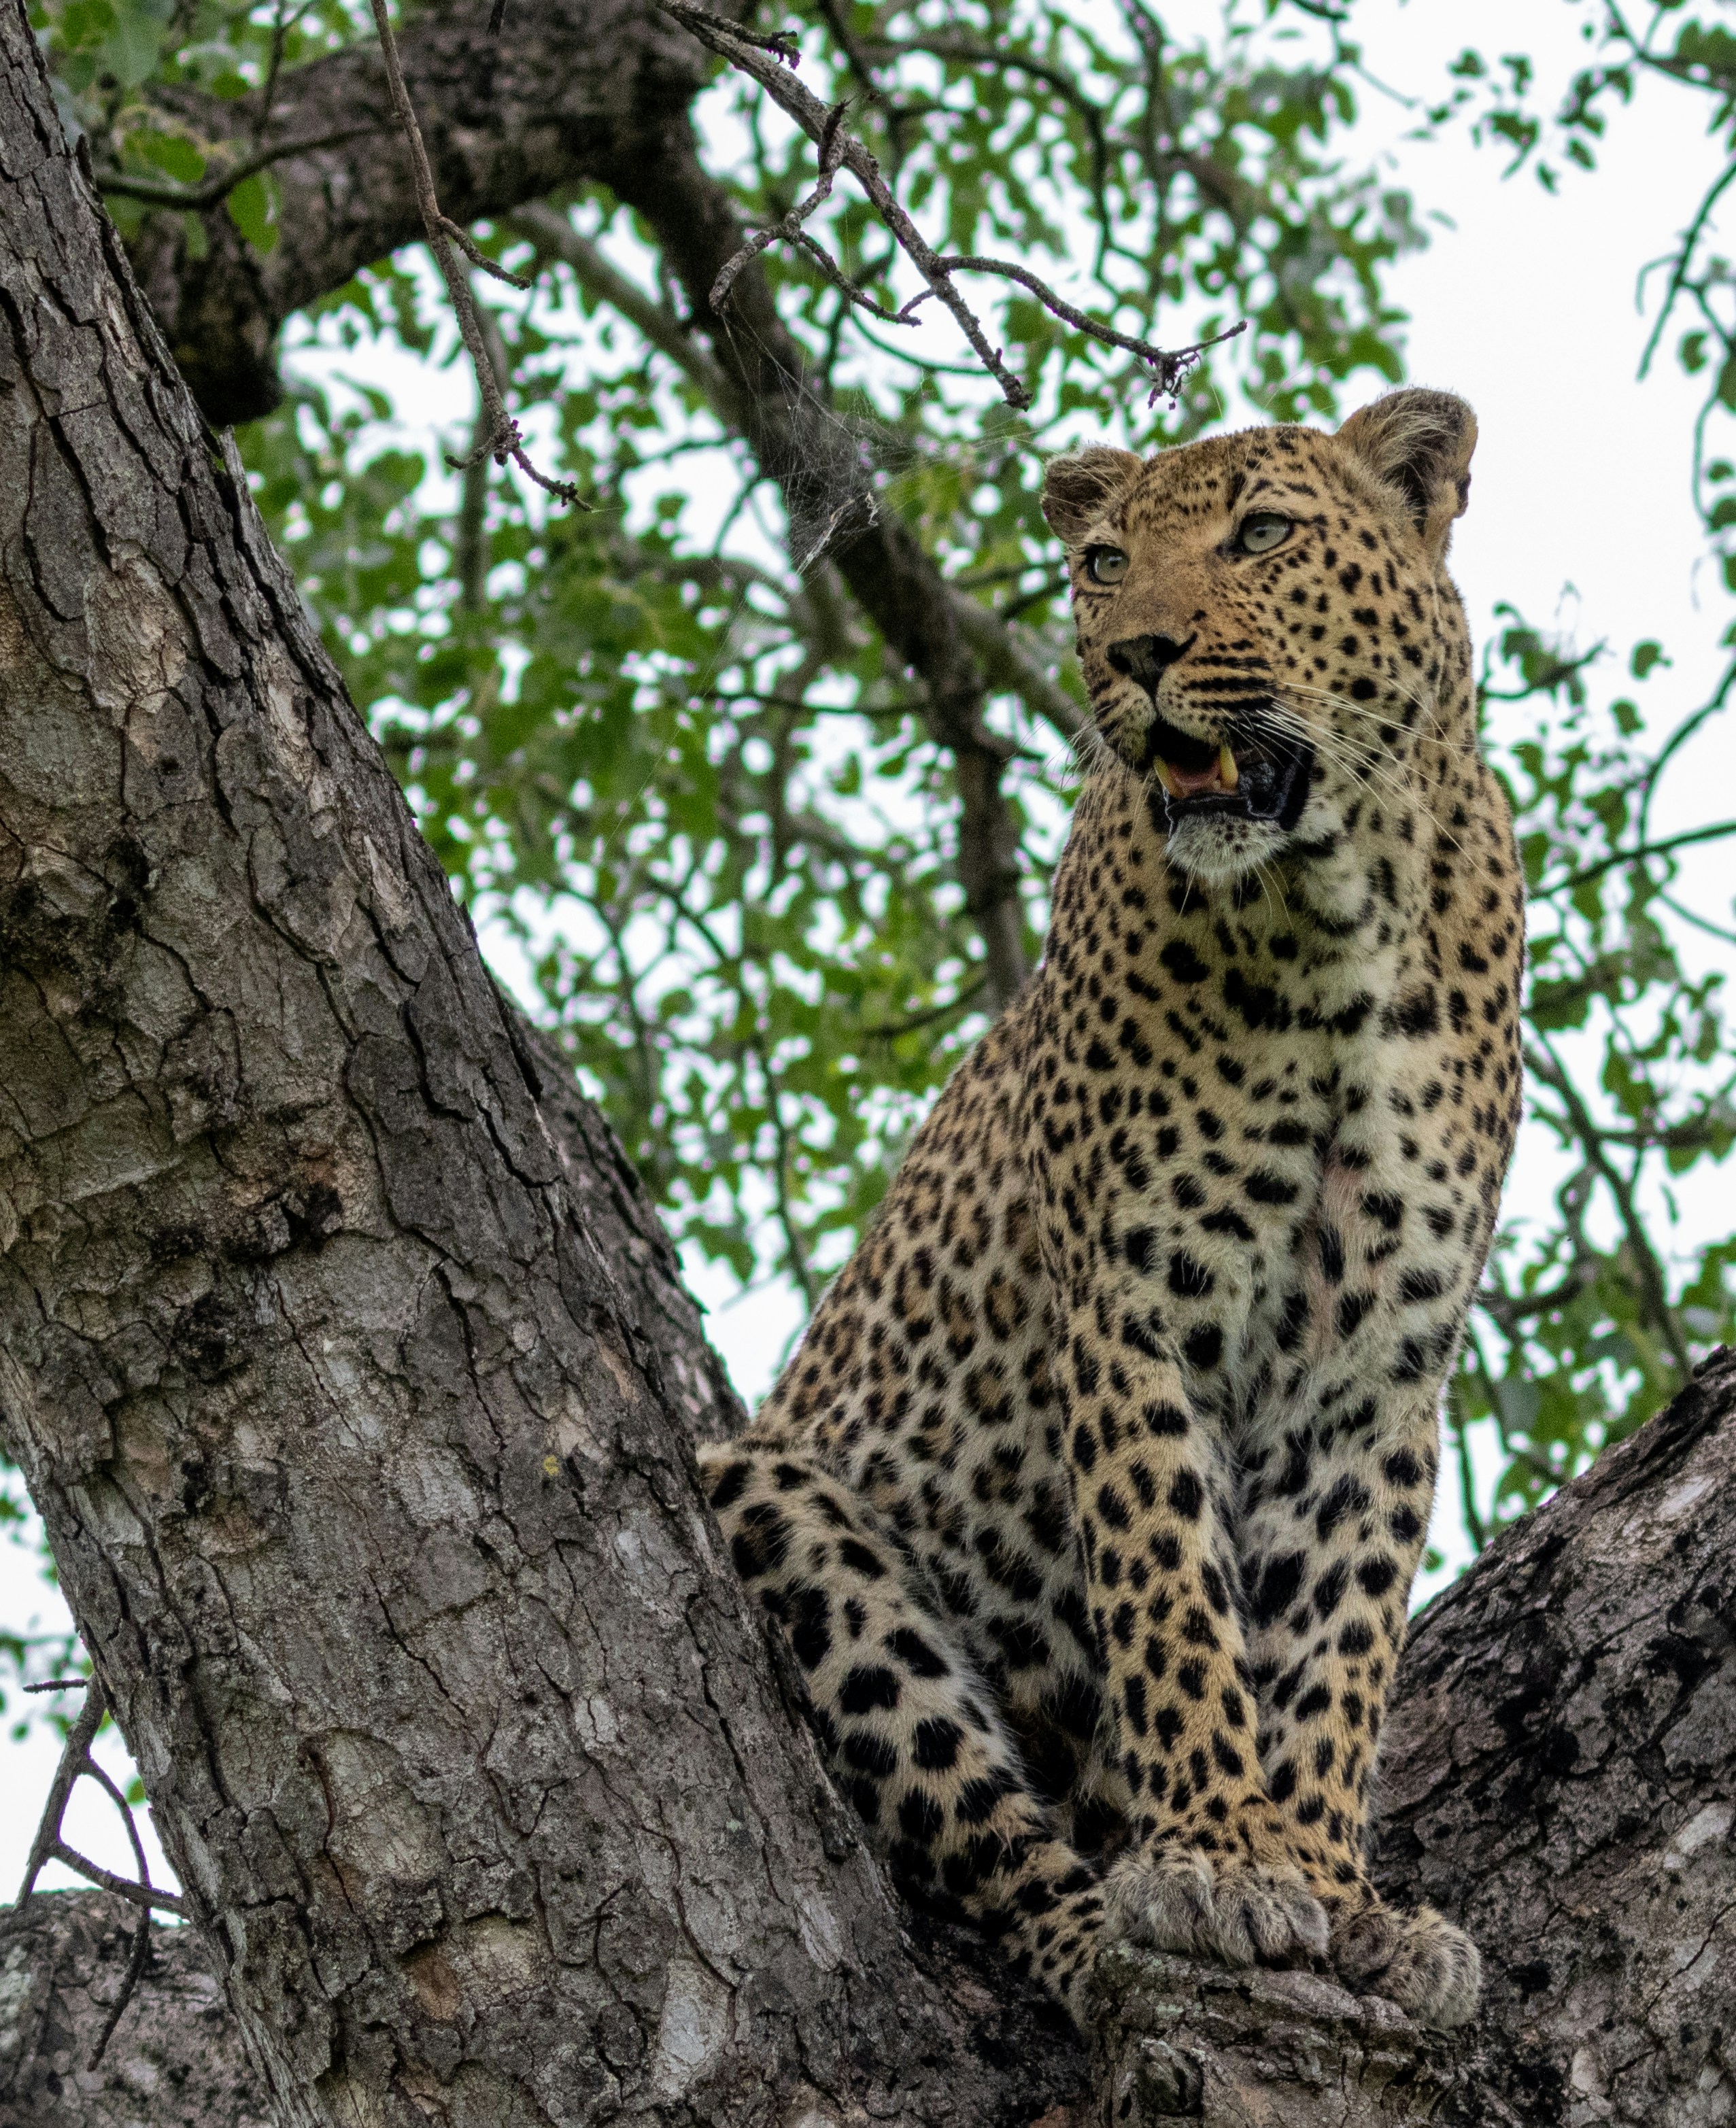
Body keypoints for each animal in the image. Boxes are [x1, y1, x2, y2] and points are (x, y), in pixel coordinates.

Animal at [697, 388, 1523, 2032]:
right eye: (1098, 564)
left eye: (1260, 534)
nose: (1135, 652)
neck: (1337, 916)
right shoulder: (1139, 1303)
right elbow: (1171, 1597)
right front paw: (1215, 1858)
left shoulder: (1380, 1368)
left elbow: (1338, 1642)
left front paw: (1337, 1892)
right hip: (778, 1503)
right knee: (995, 1842)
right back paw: (1105, 1924)